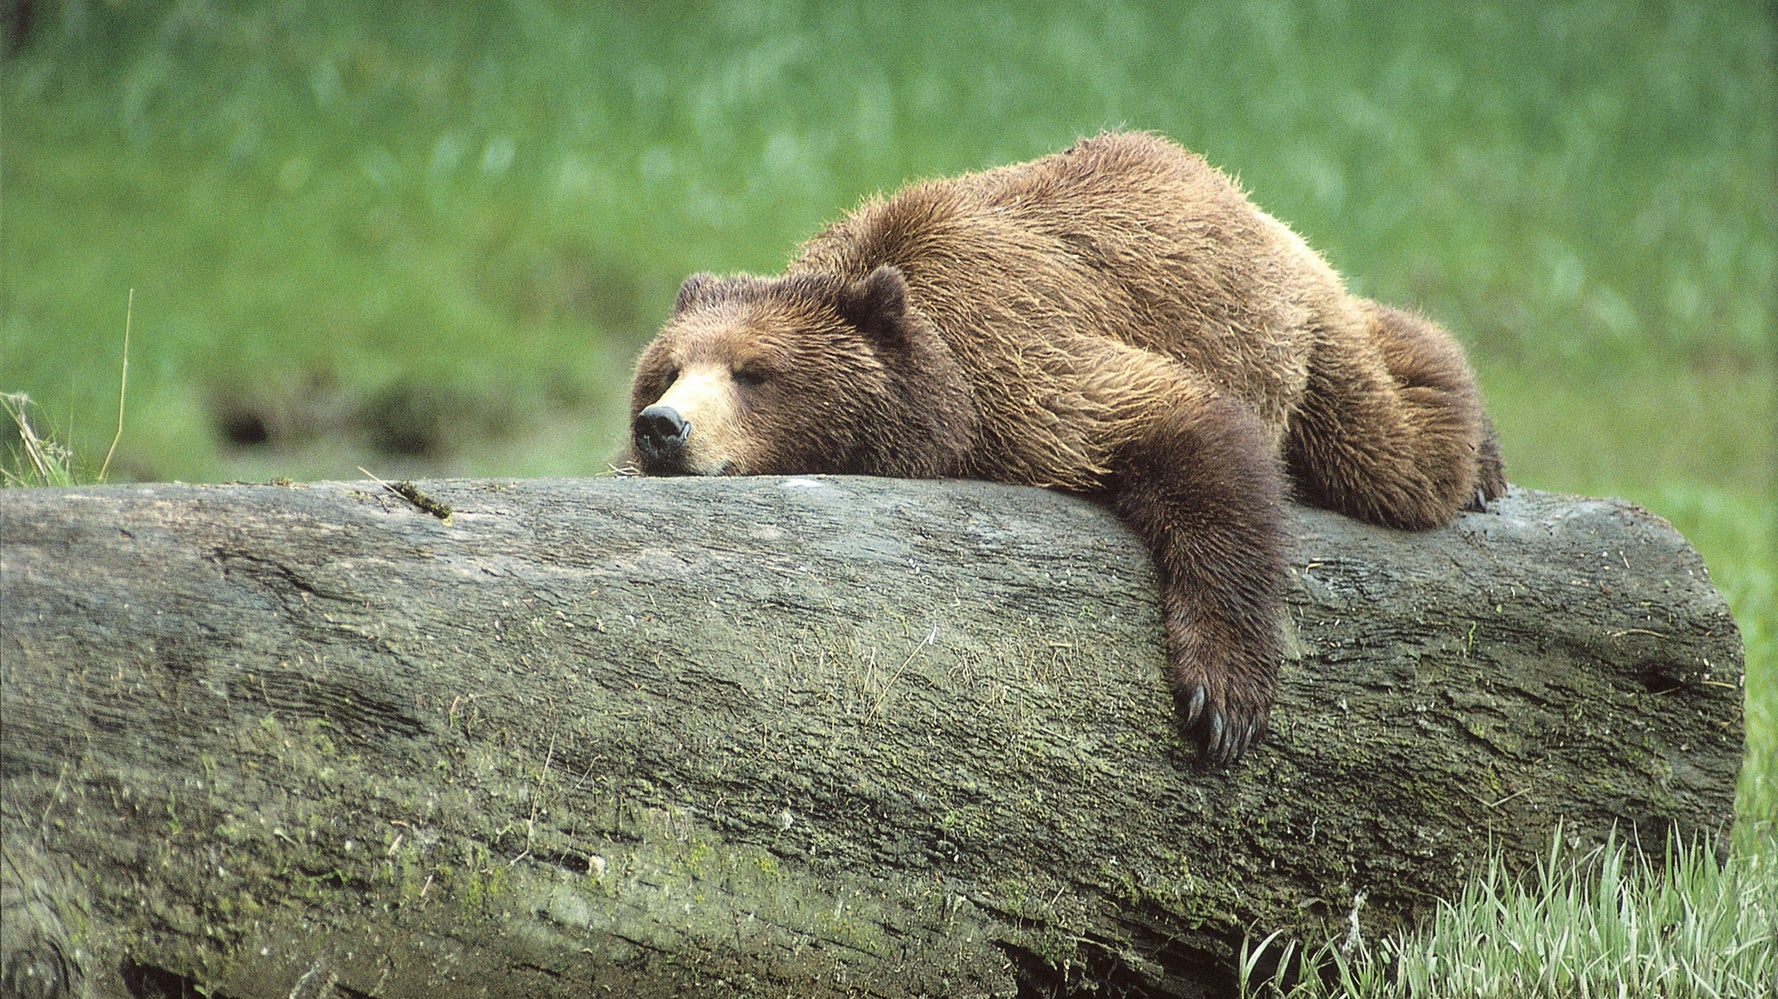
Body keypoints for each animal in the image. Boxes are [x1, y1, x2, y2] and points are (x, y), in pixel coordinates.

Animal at [627, 130, 1506, 764]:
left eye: (753, 372)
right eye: (667, 370)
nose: (663, 427)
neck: (945, 396)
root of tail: (1227, 186)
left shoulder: (1022, 367)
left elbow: (1186, 430)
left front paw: (1222, 697)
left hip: (1291, 330)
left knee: (1390, 448)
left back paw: (1476, 451)